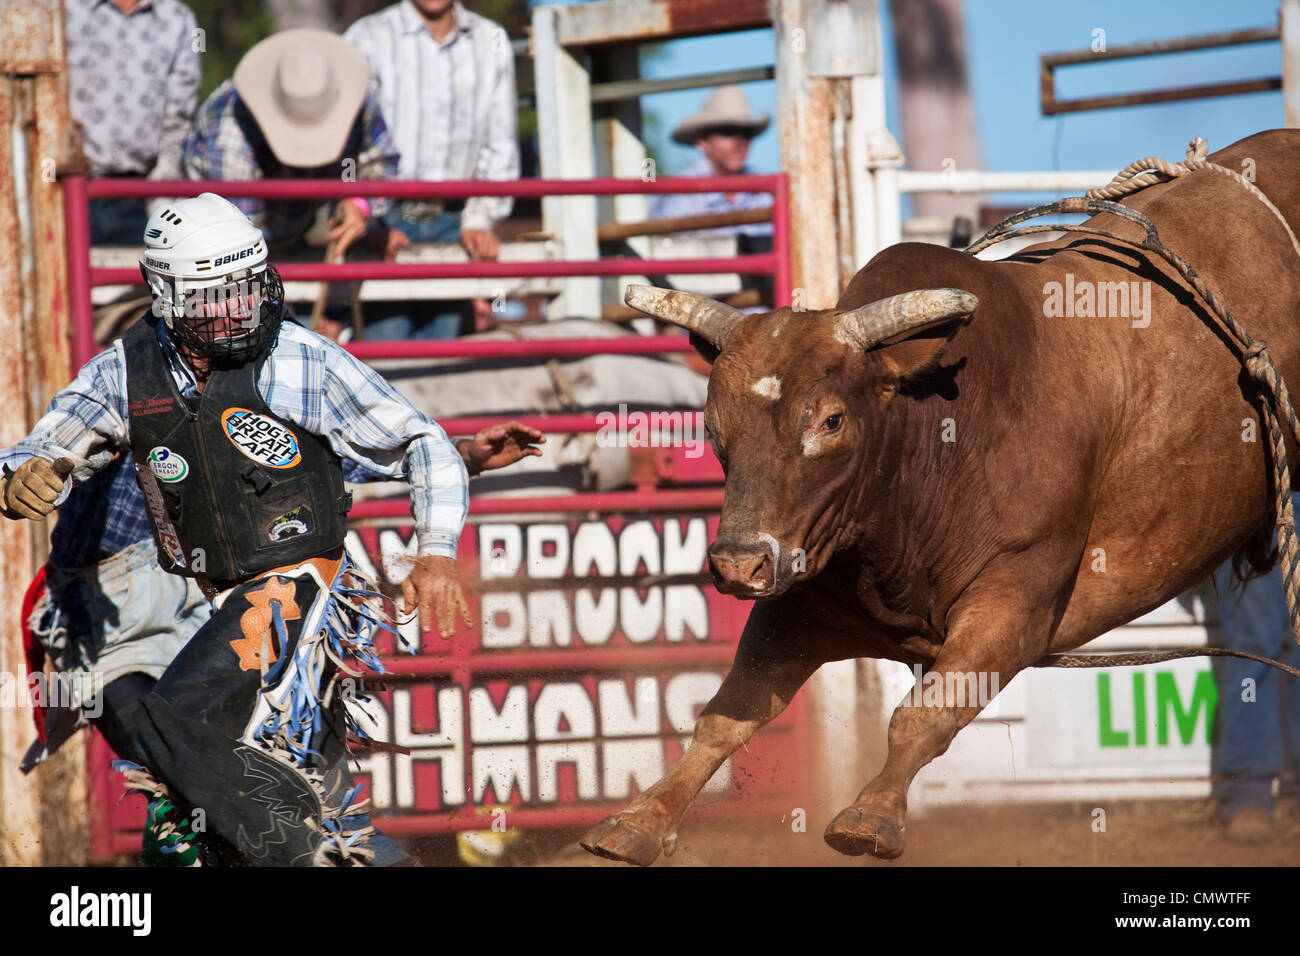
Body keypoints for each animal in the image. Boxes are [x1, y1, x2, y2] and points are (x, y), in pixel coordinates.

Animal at [580, 129, 1300, 864]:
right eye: (713, 424)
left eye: (831, 420)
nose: (736, 564)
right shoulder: (800, 593)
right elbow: (730, 713)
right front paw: (641, 817)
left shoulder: (1016, 596)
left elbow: (923, 712)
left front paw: (871, 814)